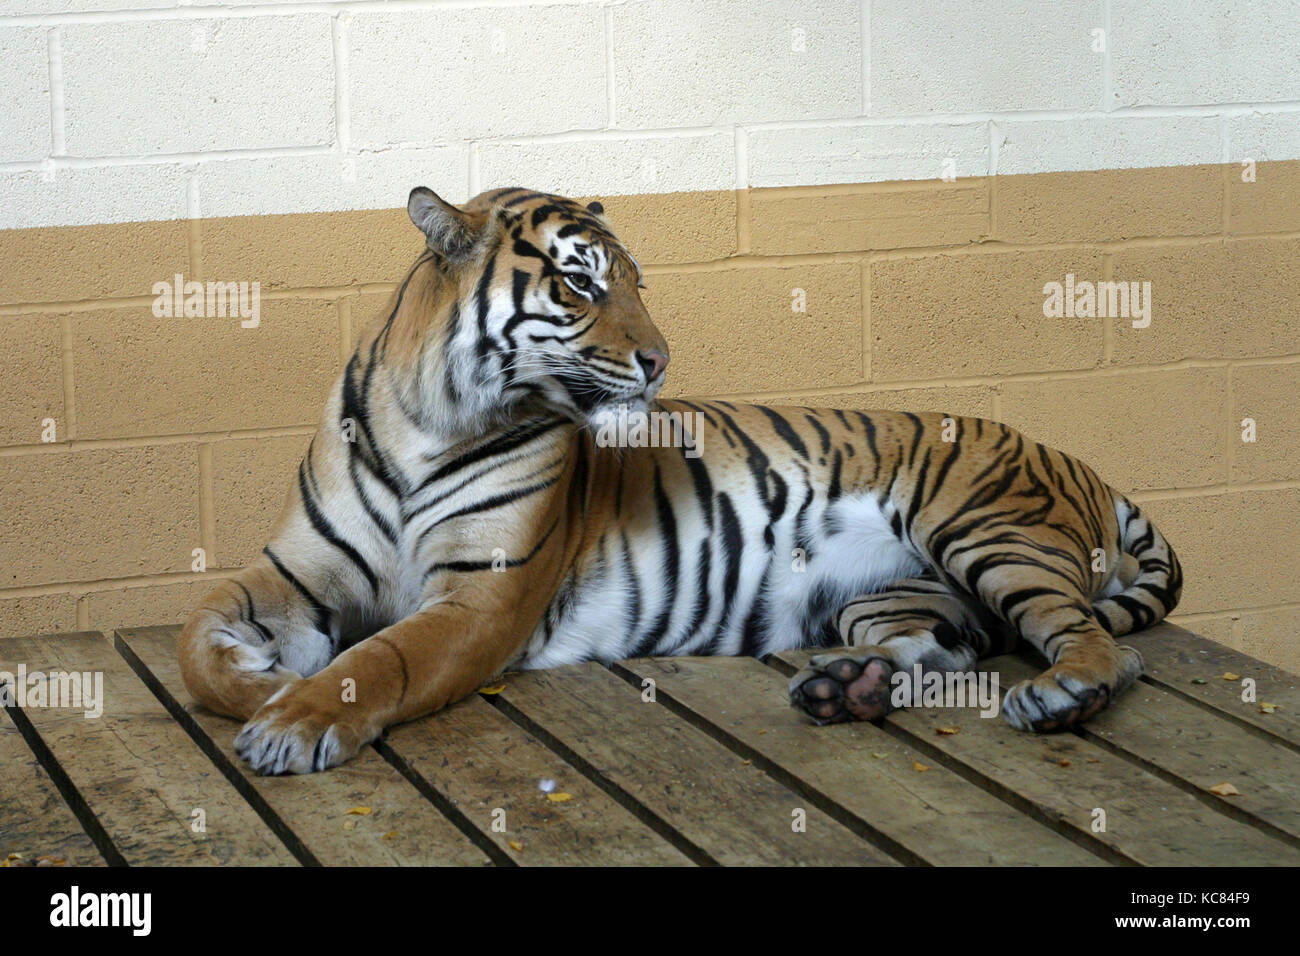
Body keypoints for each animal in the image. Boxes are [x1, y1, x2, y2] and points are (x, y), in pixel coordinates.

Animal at [179, 185, 1183, 775]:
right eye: (580, 284)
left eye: (636, 282)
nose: (661, 361)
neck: (432, 416)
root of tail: (1081, 463)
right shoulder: (298, 567)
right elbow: (198, 642)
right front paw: (261, 678)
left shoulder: (481, 598)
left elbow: (379, 660)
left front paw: (295, 716)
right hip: (890, 597)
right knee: (942, 654)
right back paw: (847, 687)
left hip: (987, 531)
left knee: (1100, 644)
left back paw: (1062, 696)